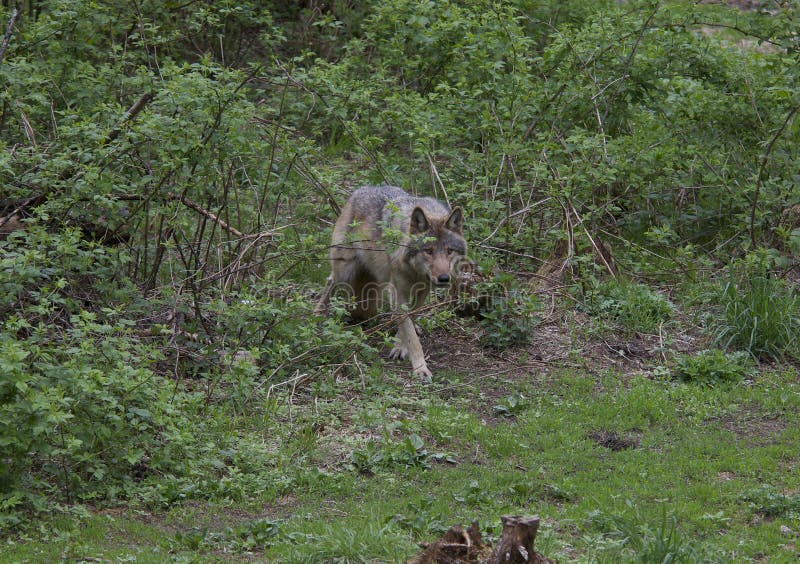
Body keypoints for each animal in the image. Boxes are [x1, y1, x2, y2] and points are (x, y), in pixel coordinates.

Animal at [316, 186, 467, 380]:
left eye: (449, 251)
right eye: (428, 251)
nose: (443, 278)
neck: (414, 272)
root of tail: (360, 190)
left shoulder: (423, 291)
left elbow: (411, 319)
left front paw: (399, 345)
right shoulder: (396, 292)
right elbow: (410, 333)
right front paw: (420, 368)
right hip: (345, 272)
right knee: (330, 282)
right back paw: (318, 313)